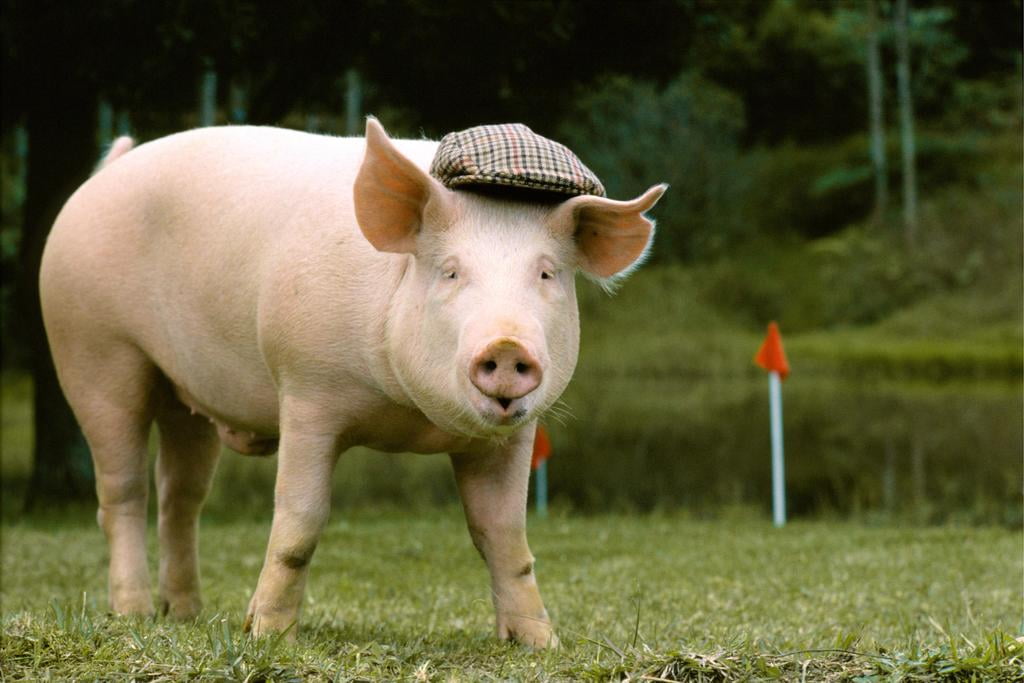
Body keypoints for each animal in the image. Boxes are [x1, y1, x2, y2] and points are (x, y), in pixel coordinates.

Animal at [39, 118, 665, 648]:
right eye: (450, 271)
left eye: (546, 274)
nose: (507, 346)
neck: (405, 417)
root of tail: (109, 169)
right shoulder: (306, 392)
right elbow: (300, 521)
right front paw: (267, 635)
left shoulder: (512, 437)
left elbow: (506, 535)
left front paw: (539, 644)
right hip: (92, 349)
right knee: (122, 492)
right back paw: (134, 613)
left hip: (182, 392)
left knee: (180, 495)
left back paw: (187, 614)